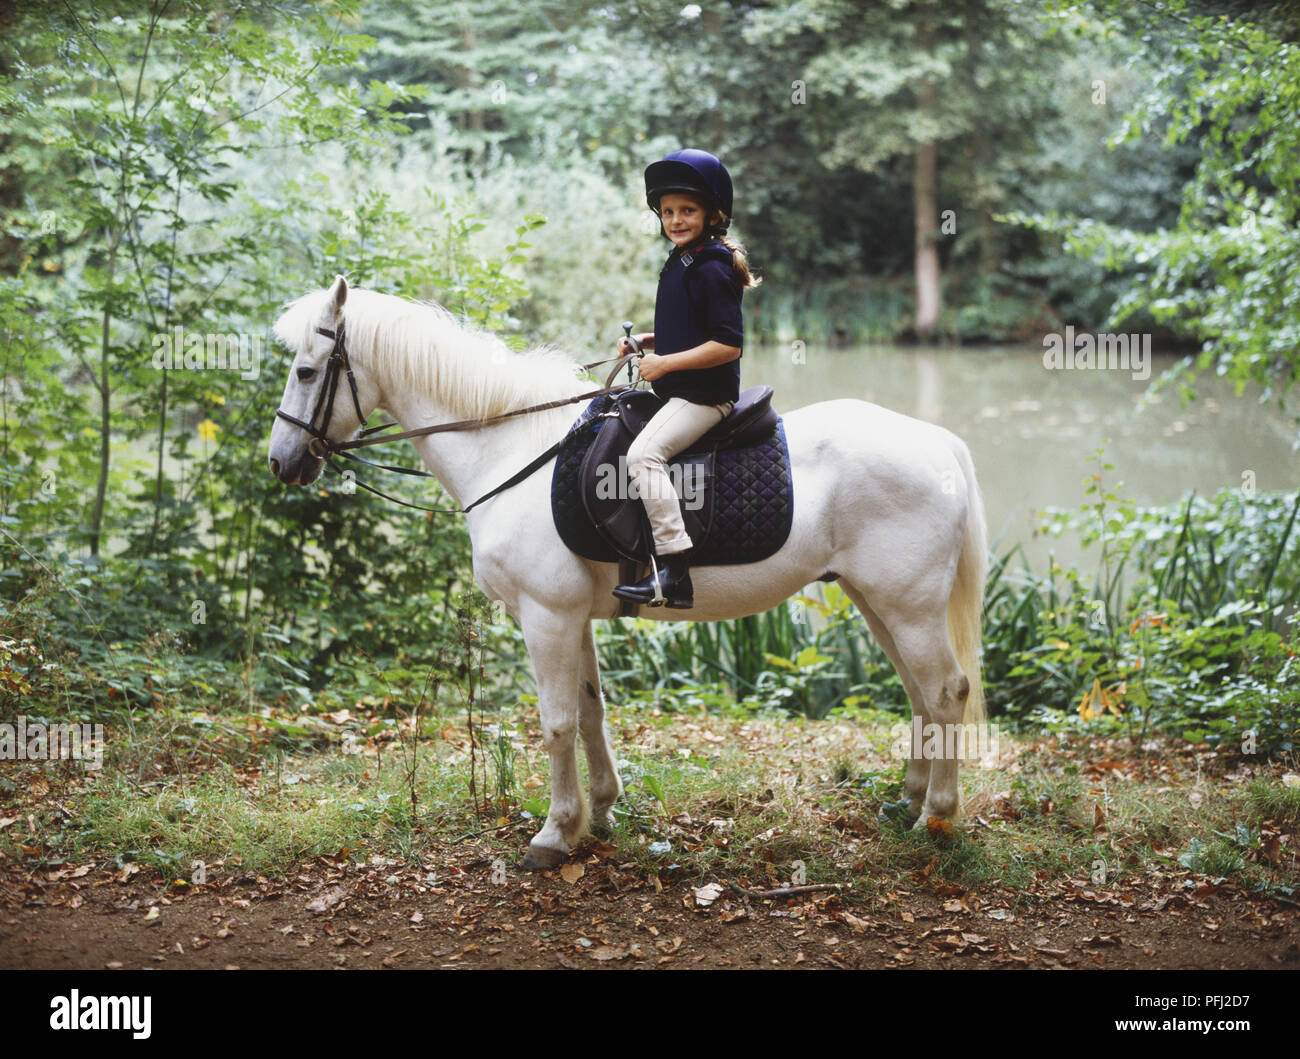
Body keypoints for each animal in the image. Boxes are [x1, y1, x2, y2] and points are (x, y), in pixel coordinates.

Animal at [267, 276, 988, 869]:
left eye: (305, 370)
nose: (282, 463)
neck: (507, 447)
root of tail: (940, 442)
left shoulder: (545, 615)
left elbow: (557, 721)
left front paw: (555, 833)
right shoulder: (572, 617)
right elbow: (591, 712)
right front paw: (602, 812)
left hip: (907, 604)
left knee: (946, 691)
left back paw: (937, 818)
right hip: (877, 601)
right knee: (920, 695)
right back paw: (908, 801)